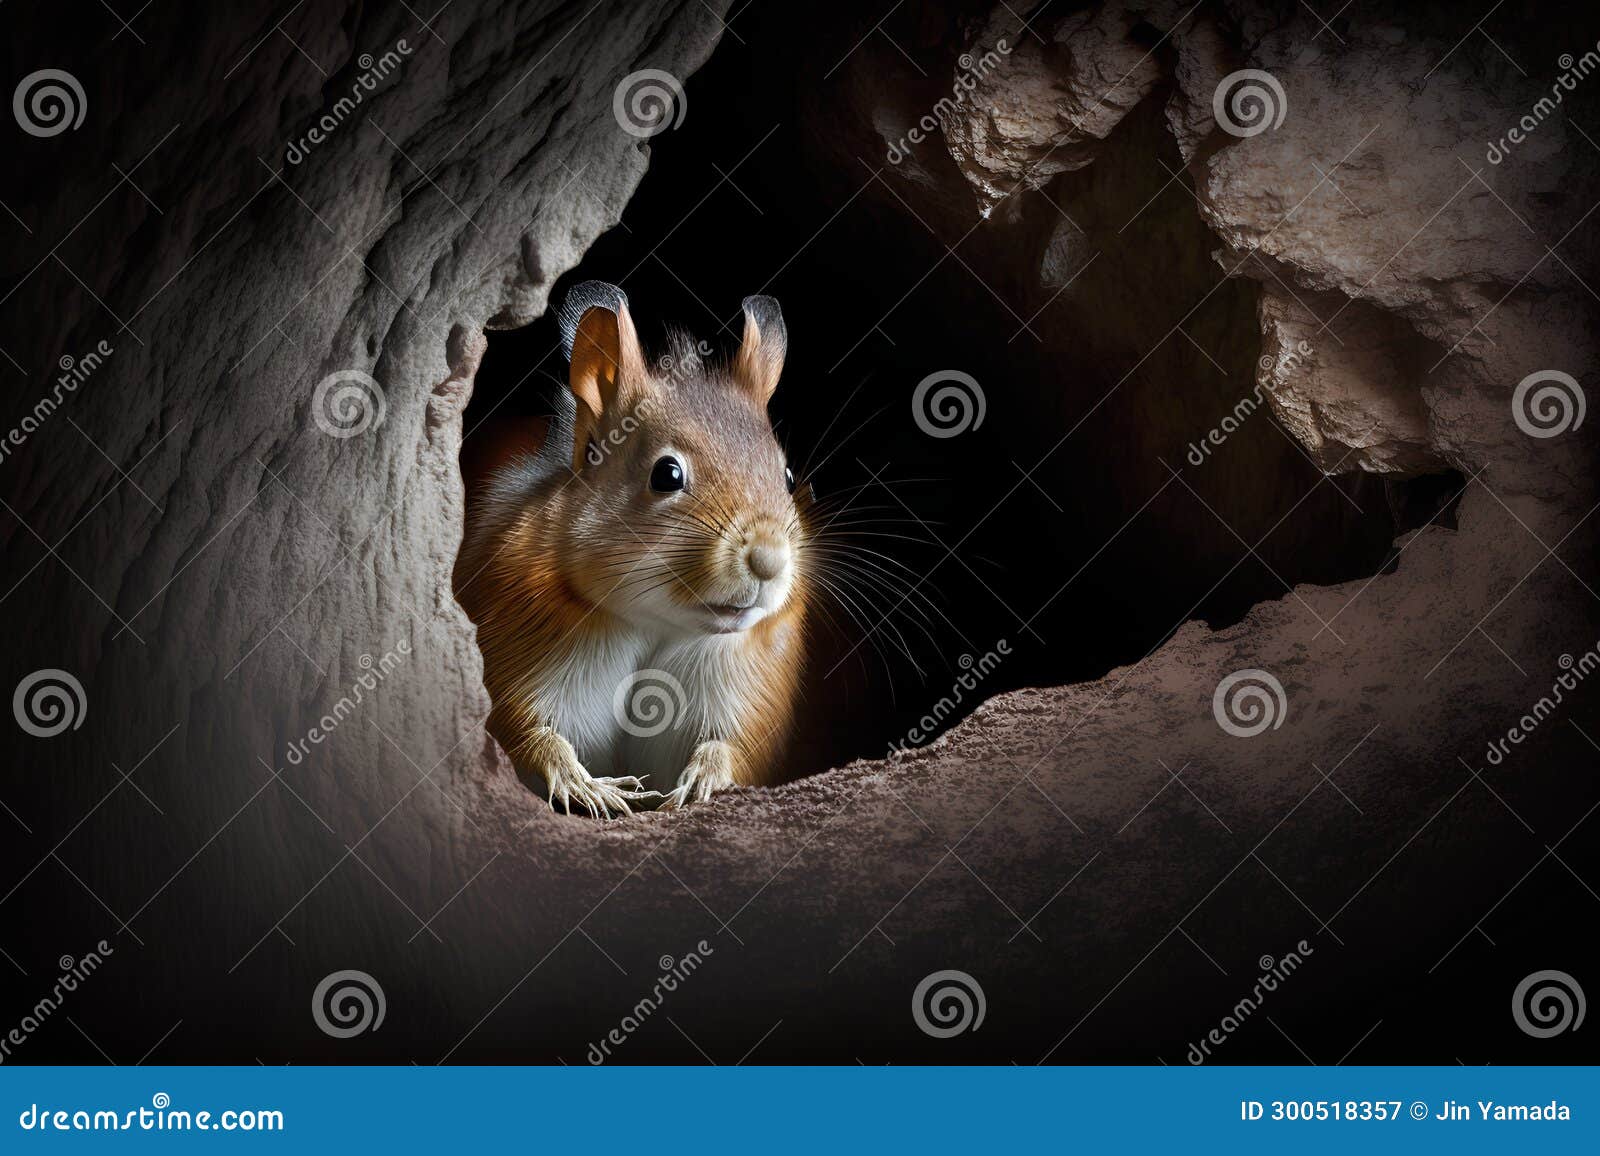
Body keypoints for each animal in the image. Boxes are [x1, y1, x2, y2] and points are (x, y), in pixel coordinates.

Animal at [456, 282, 810, 816]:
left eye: (788, 476)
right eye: (667, 474)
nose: (768, 561)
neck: (658, 621)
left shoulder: (752, 687)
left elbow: (736, 747)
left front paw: (702, 778)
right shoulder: (513, 643)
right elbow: (525, 730)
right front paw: (587, 784)